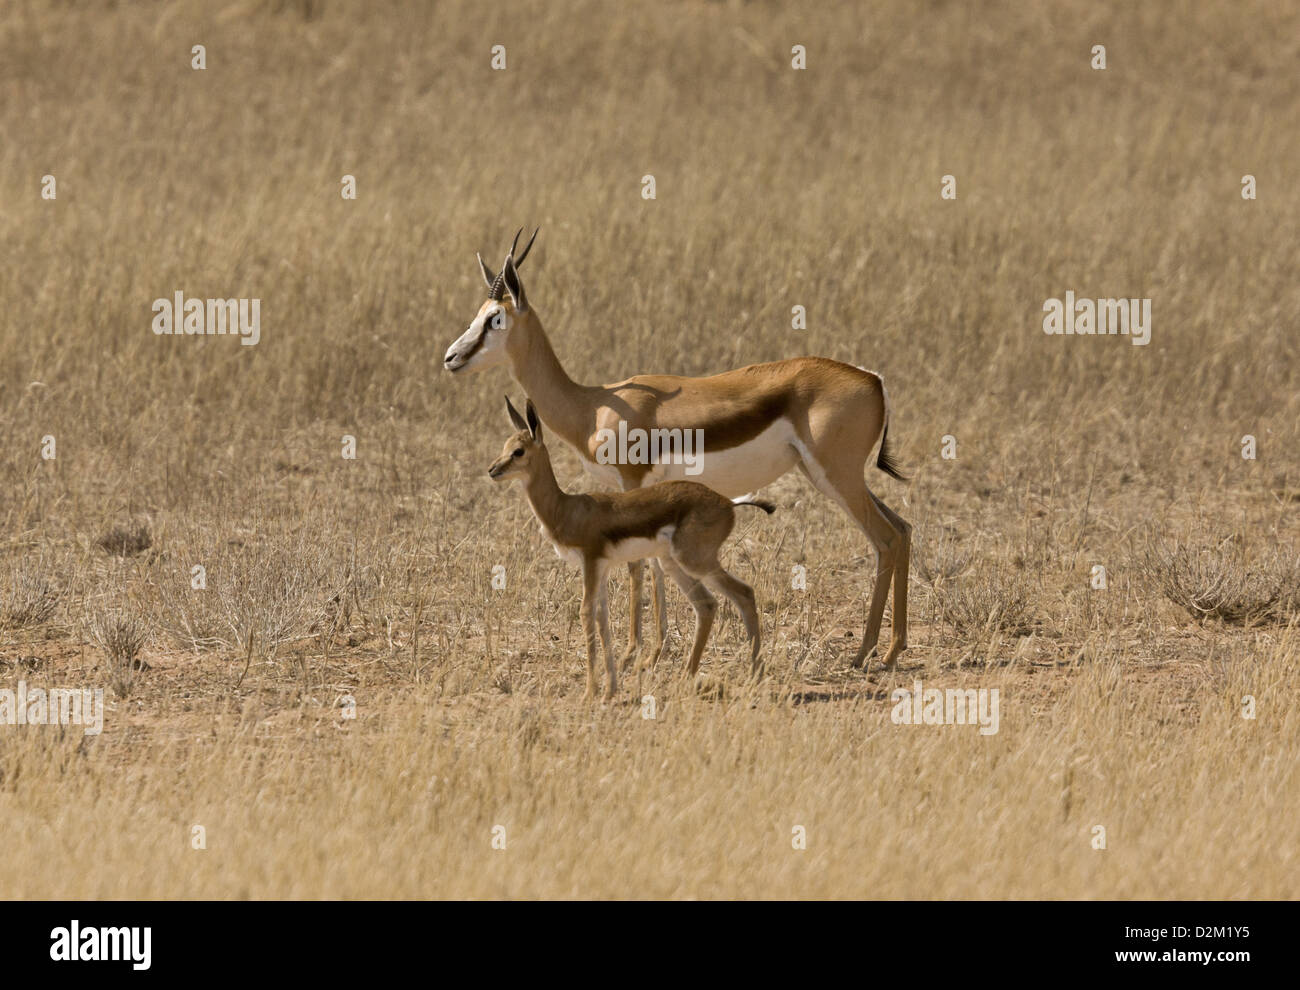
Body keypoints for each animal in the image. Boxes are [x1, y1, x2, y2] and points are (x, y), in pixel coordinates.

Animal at [489, 397, 774, 701]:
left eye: (518, 451)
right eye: (505, 446)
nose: (492, 471)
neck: (567, 510)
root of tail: (728, 502)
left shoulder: (591, 563)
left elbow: (586, 614)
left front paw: (590, 692)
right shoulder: (600, 568)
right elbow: (602, 619)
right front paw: (609, 690)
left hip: (694, 561)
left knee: (743, 593)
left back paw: (753, 677)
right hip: (673, 563)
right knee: (708, 604)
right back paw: (698, 677)